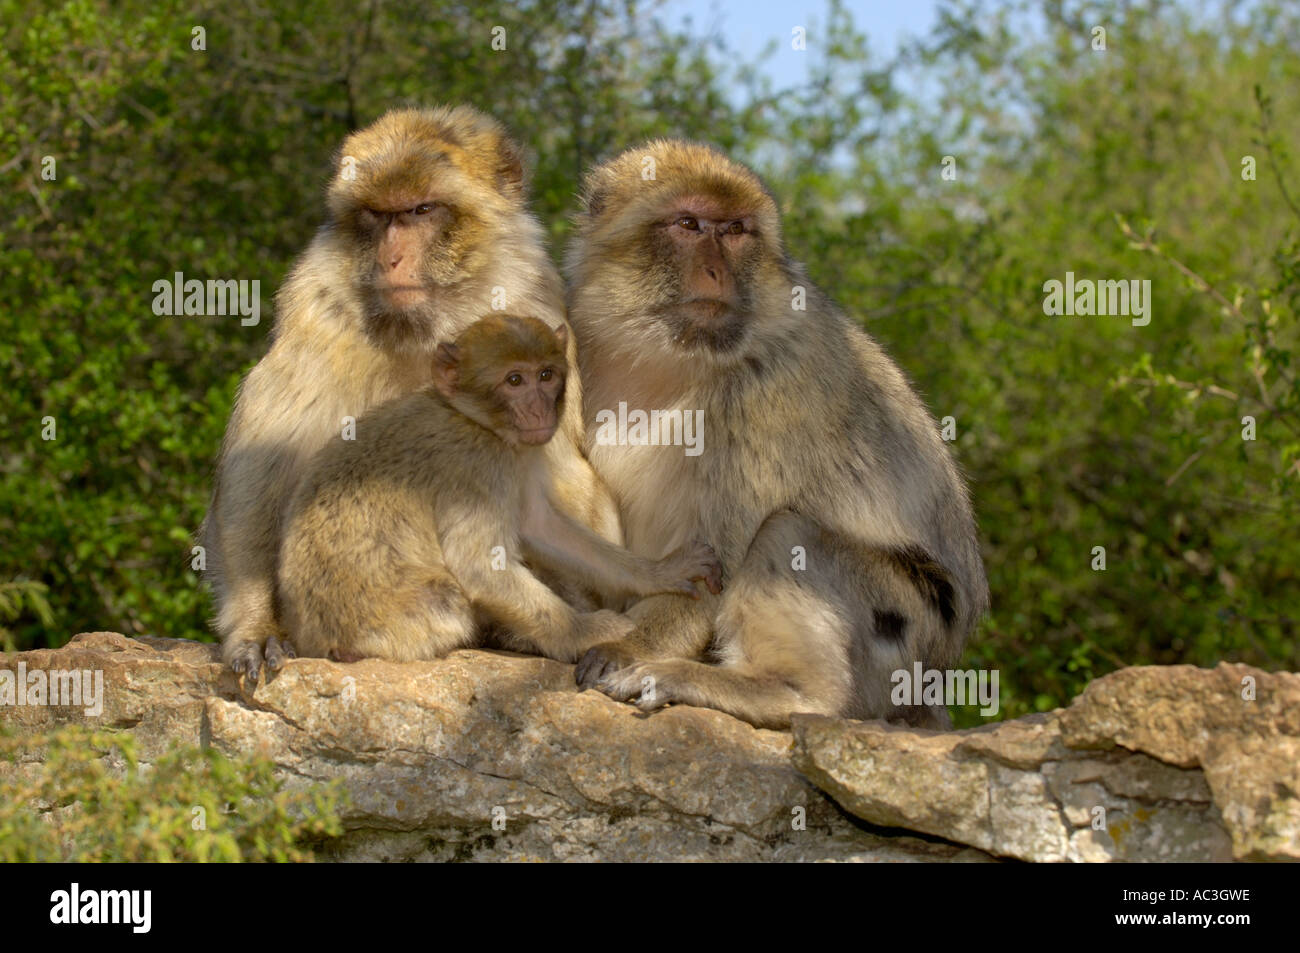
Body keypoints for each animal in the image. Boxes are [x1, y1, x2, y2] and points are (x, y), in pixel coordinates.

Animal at [200, 105, 622, 682]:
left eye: (421, 210)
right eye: (378, 216)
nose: (392, 258)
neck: (427, 327)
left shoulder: (535, 308)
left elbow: (555, 468)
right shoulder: (316, 308)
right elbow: (262, 458)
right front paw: (256, 626)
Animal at [277, 314, 722, 664]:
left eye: (545, 375)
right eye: (514, 380)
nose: (539, 410)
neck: (476, 421)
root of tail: (311, 637)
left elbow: (541, 527)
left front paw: (660, 572)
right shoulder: (479, 467)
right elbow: (480, 566)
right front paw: (586, 633)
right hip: (392, 622)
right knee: (448, 600)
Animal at [563, 139, 989, 730]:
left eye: (736, 230)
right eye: (689, 224)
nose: (715, 270)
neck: (667, 359)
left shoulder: (765, 394)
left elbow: (716, 563)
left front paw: (628, 648)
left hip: (903, 642)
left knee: (788, 532)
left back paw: (776, 692)